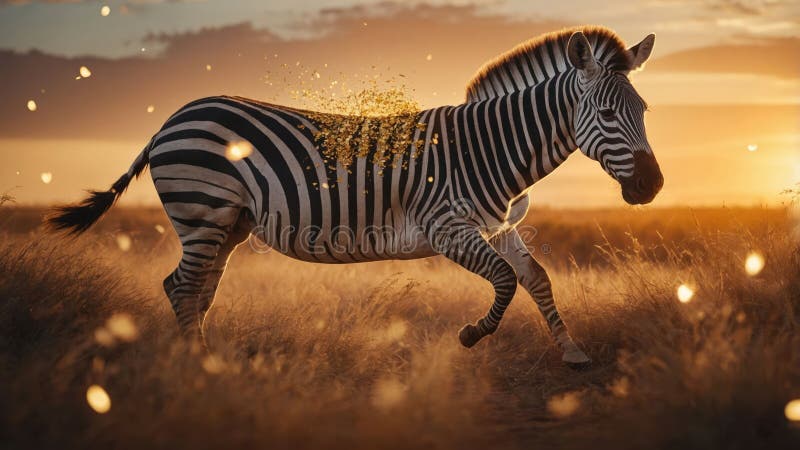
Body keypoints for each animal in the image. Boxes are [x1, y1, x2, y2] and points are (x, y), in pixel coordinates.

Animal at [47, 26, 663, 368]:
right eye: (607, 114)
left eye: (644, 110)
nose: (652, 186)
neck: (488, 148)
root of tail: (171, 119)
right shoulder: (447, 226)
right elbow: (507, 282)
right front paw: (471, 335)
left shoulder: (499, 226)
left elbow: (537, 279)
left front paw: (572, 352)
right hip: (203, 213)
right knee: (181, 287)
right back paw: (195, 369)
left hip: (228, 224)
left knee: (195, 290)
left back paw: (202, 360)